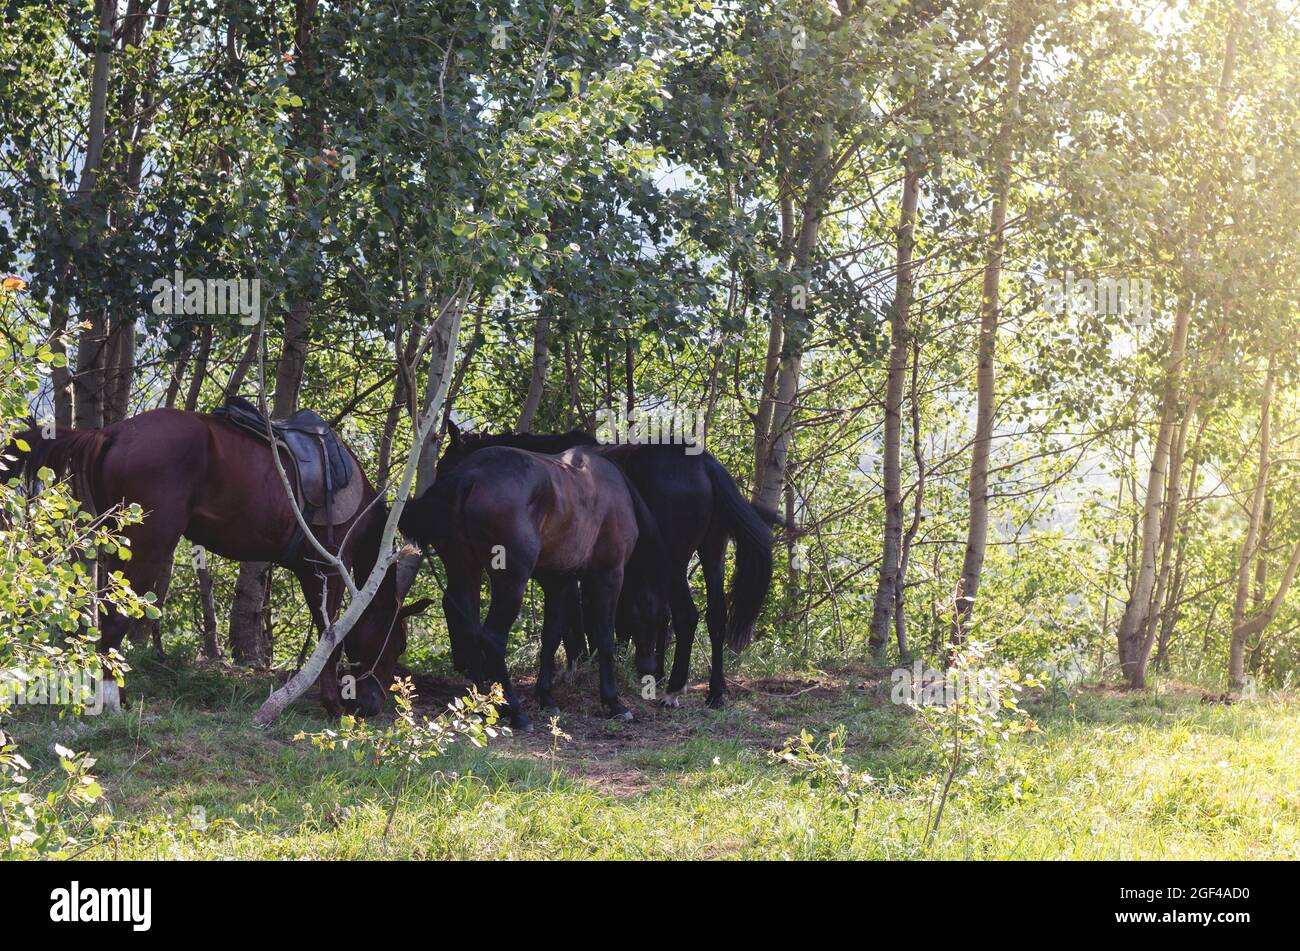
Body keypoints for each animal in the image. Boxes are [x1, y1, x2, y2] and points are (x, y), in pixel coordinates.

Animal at [4, 409, 428, 717]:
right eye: (398, 642)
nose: (374, 705)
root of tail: (112, 433)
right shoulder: (326, 573)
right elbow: (332, 635)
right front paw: (334, 705)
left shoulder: (311, 573)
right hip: (149, 547)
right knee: (115, 617)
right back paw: (112, 701)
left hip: (118, 544)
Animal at [398, 442, 667, 731]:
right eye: (658, 617)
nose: (652, 670)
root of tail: (468, 476)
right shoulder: (608, 574)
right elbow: (605, 637)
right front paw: (614, 702)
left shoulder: (558, 581)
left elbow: (551, 636)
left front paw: (546, 697)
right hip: (511, 581)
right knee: (492, 637)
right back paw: (514, 710)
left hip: (464, 567)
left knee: (469, 628)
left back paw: (481, 701)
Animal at [433, 424, 780, 708]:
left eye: (445, 463)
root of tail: (704, 463)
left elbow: (577, 619)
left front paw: (576, 667)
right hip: (712, 551)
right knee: (715, 614)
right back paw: (714, 691)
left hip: (673, 562)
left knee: (686, 615)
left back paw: (674, 688)